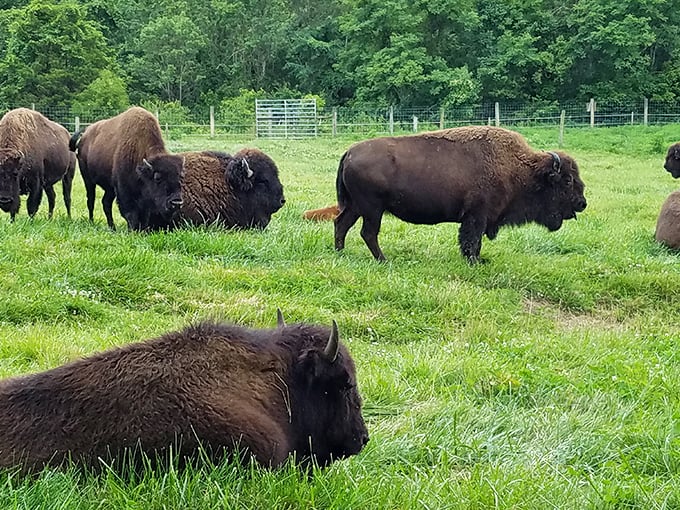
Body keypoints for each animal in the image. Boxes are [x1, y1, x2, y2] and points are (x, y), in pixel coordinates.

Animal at [334, 126, 587, 263]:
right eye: (567, 180)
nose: (582, 203)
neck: (521, 169)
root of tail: (349, 152)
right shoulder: (476, 217)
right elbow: (471, 241)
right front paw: (473, 261)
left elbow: (475, 242)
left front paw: (479, 260)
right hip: (372, 209)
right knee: (368, 233)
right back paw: (384, 260)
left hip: (357, 207)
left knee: (341, 223)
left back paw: (341, 253)